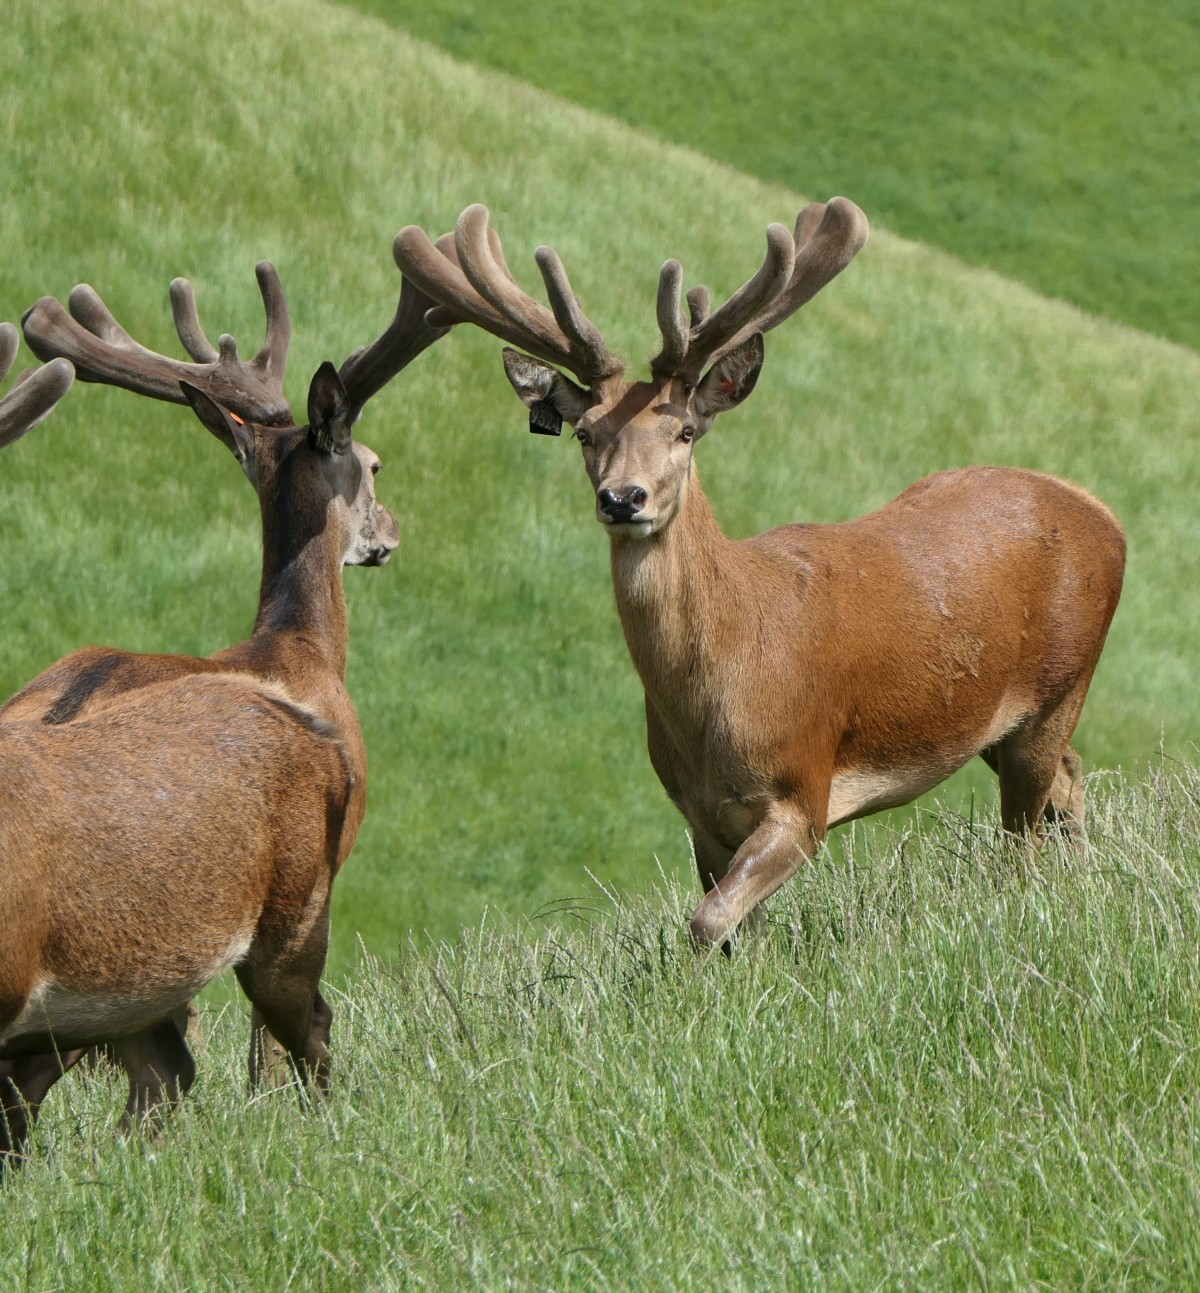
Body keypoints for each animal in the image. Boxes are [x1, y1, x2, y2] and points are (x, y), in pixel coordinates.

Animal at [392, 200, 1126, 951]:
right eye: (587, 432)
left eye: (684, 430)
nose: (623, 498)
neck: (724, 684)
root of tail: (1105, 516)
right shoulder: (700, 817)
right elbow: (736, 928)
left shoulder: (804, 790)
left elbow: (707, 919)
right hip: (998, 725)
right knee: (1068, 781)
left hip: (1063, 682)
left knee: (1026, 831)